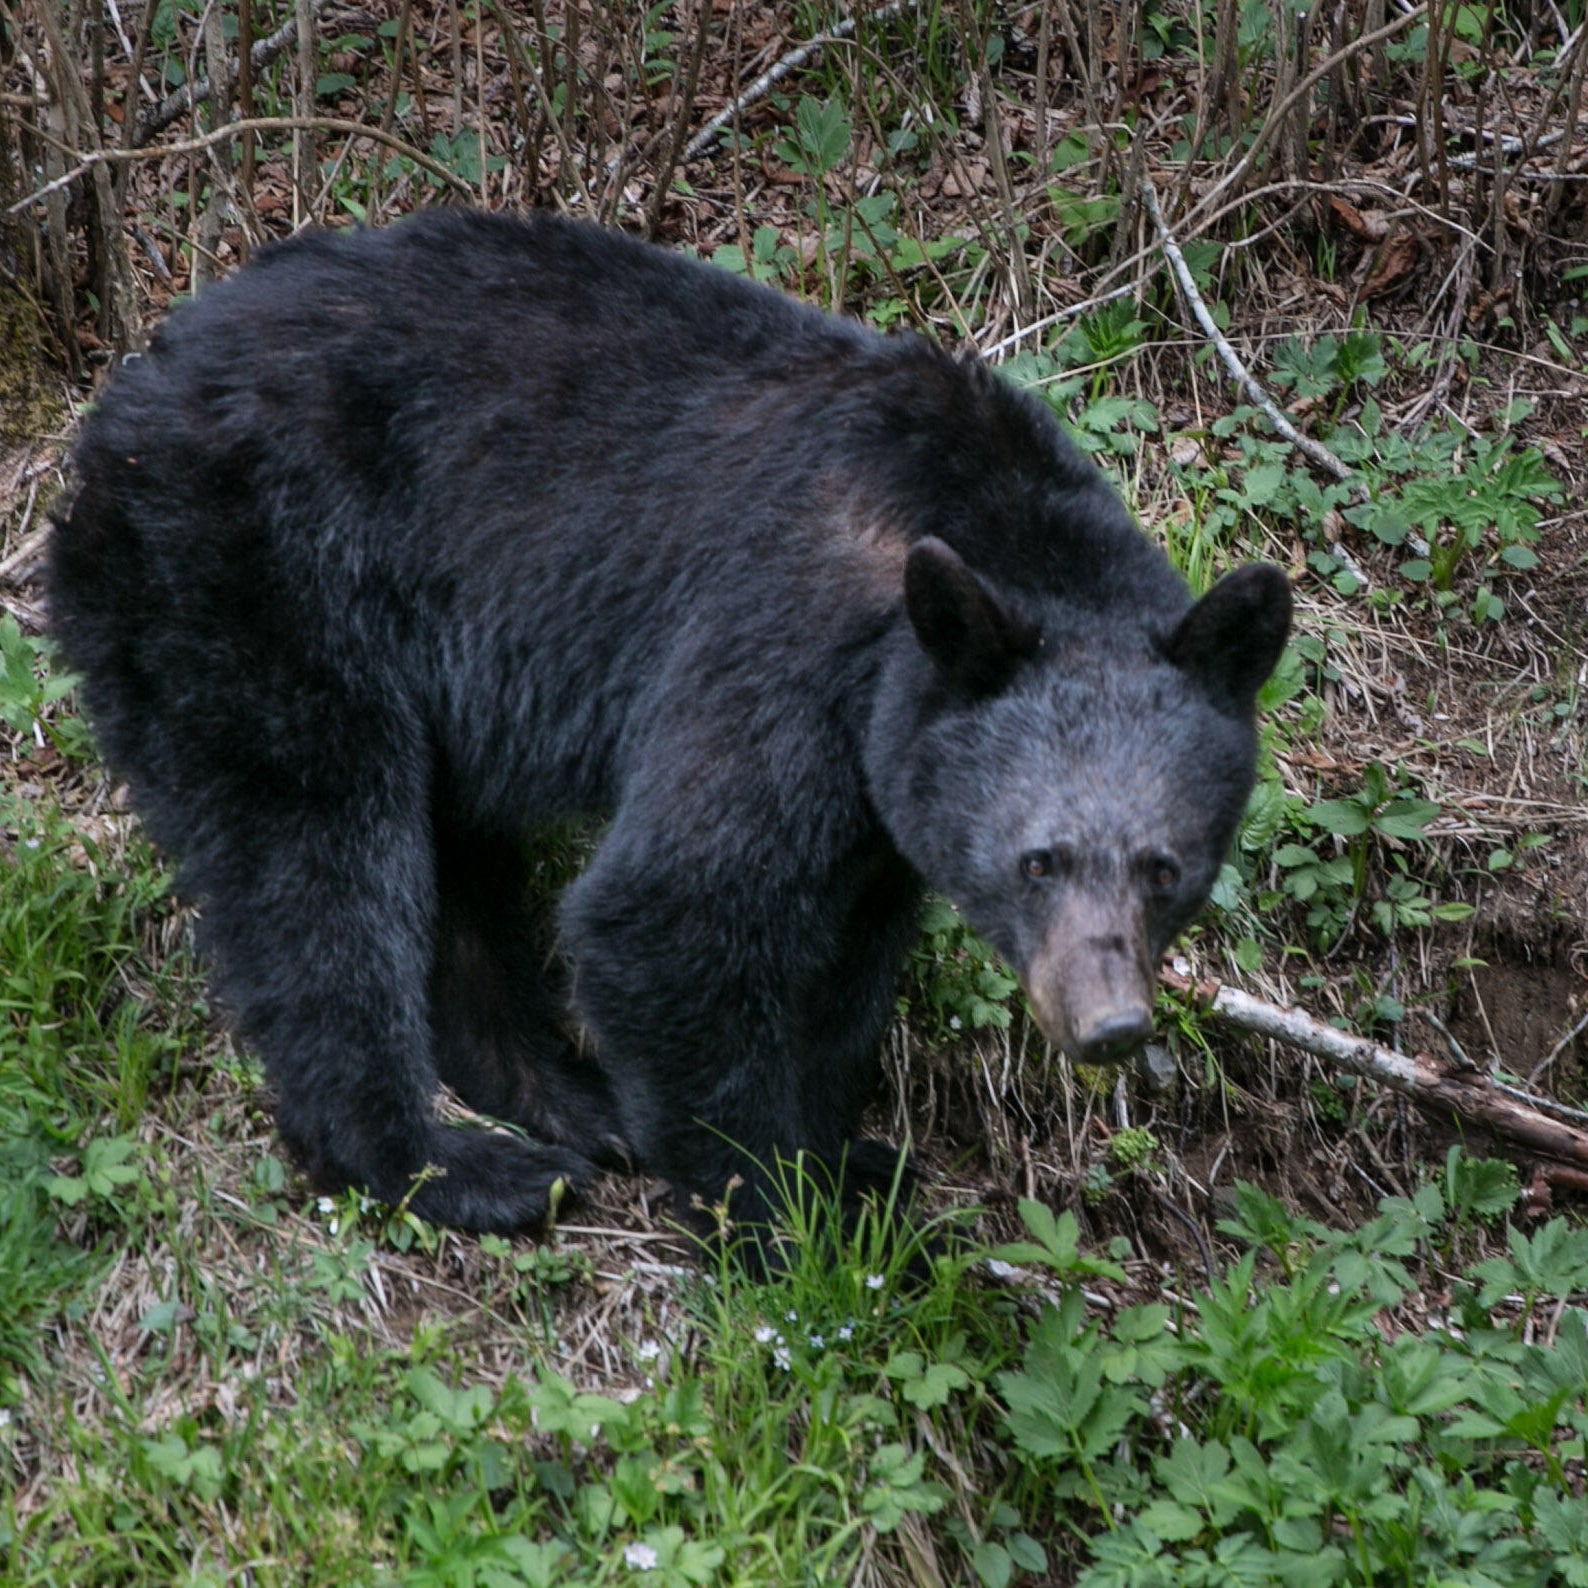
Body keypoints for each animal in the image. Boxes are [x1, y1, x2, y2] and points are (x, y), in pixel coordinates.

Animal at [49, 209, 1291, 1240]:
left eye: (1166, 866)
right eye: (1038, 860)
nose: (1109, 1025)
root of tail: (117, 404)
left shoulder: (883, 788)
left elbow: (843, 965)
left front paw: (843, 1156)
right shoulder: (780, 654)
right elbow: (668, 915)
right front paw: (782, 1218)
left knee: (451, 869)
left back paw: (567, 1097)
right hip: (256, 580)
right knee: (315, 858)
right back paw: (448, 1164)